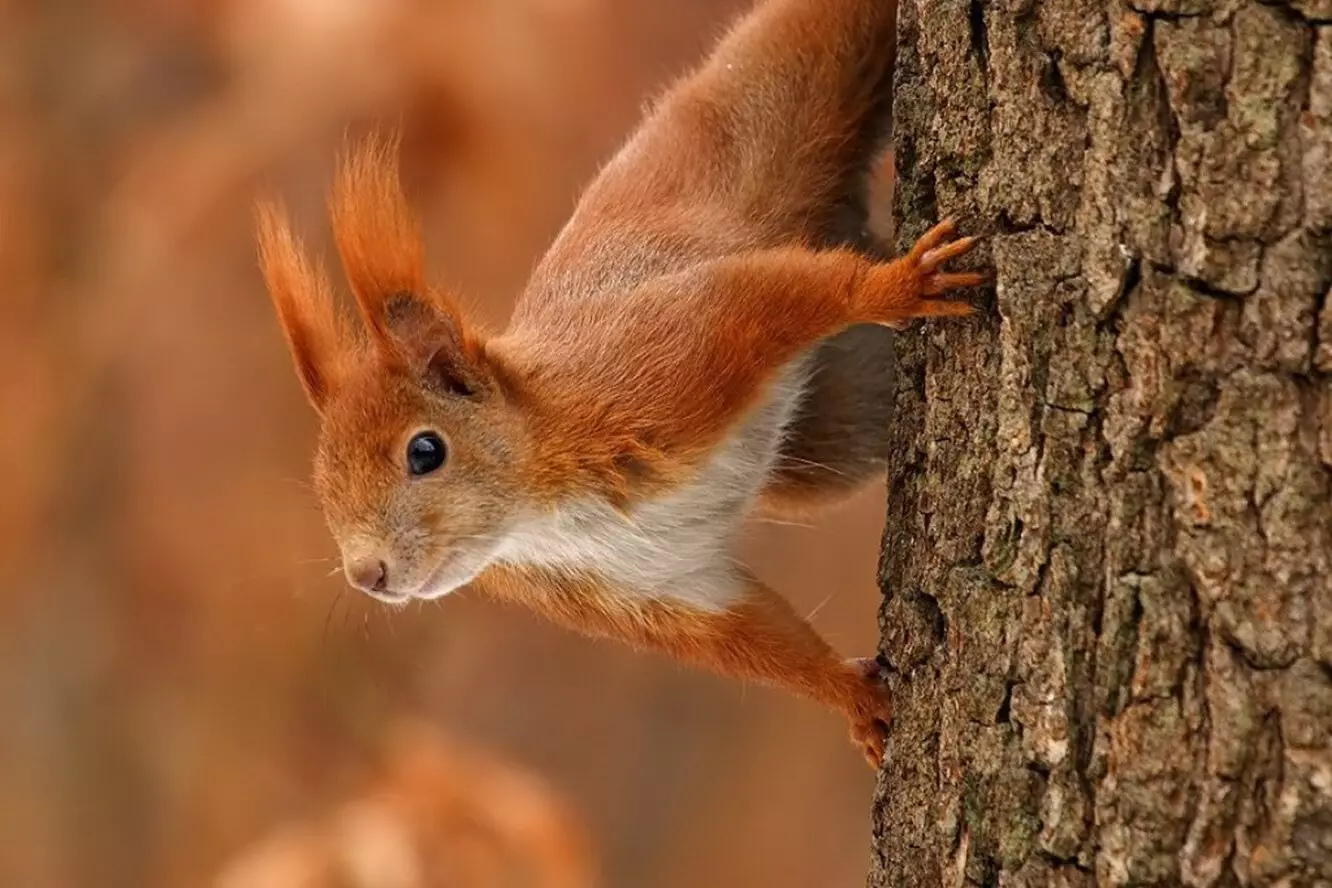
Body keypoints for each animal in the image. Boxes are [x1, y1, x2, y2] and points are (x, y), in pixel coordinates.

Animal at [259, 0, 991, 766]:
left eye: (425, 452)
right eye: (322, 486)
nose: (365, 575)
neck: (540, 512)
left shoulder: (666, 358)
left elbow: (771, 297)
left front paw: (897, 286)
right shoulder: (648, 588)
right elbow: (748, 637)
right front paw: (854, 700)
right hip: (837, 424)